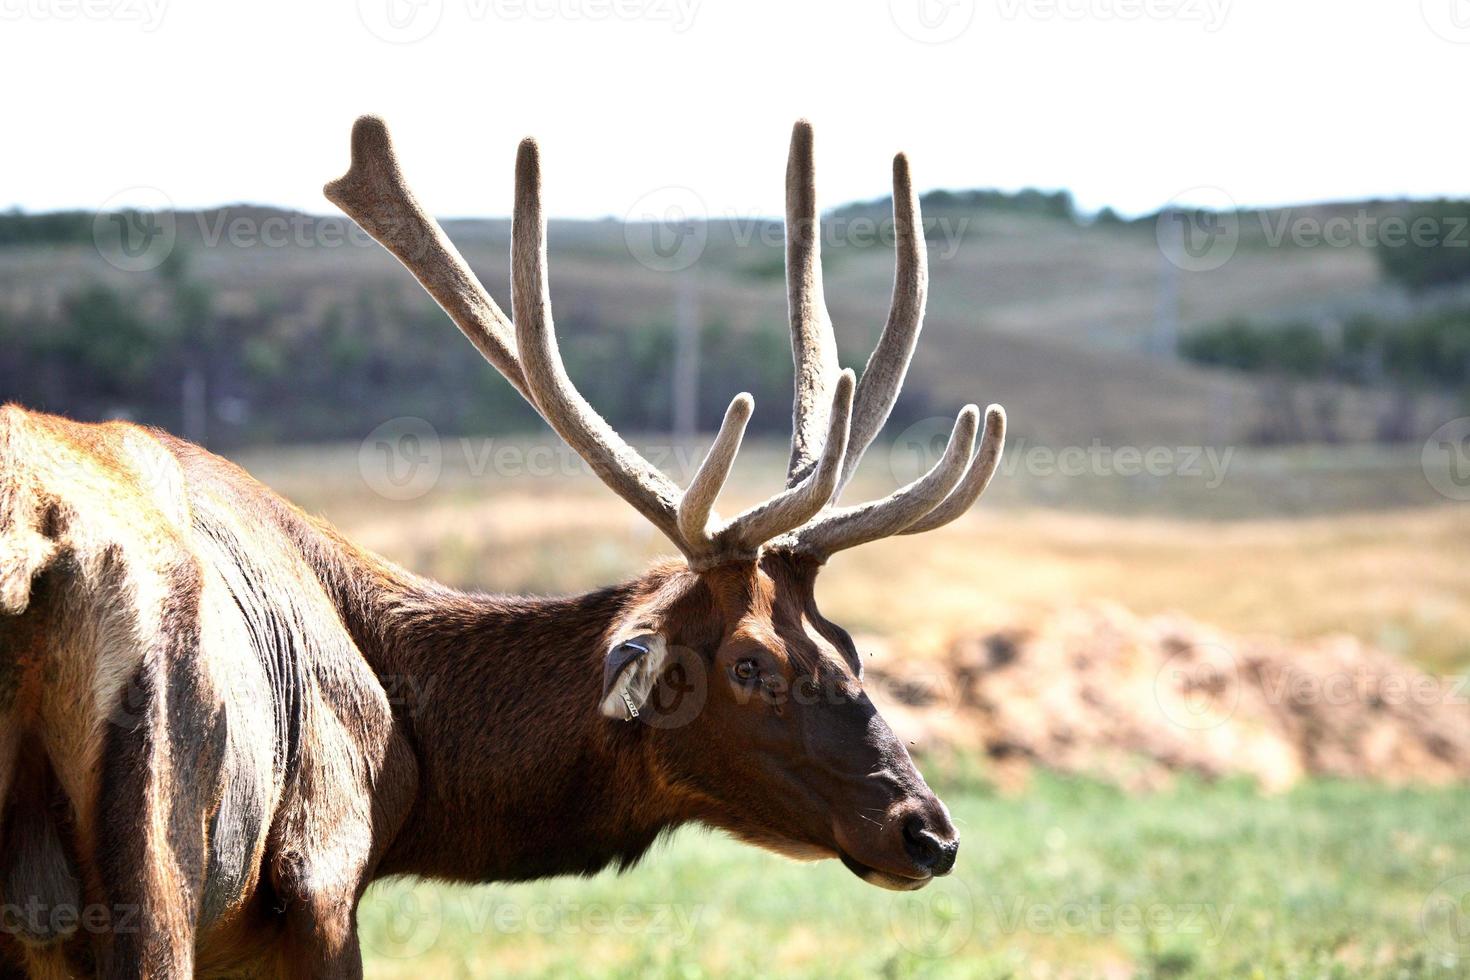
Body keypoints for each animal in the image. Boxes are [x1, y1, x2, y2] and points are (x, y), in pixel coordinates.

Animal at [0, 116, 1005, 978]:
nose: (929, 832)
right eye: (750, 663)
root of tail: (39, 550)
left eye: (847, 644)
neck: (416, 779)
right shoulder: (319, 871)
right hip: (160, 845)